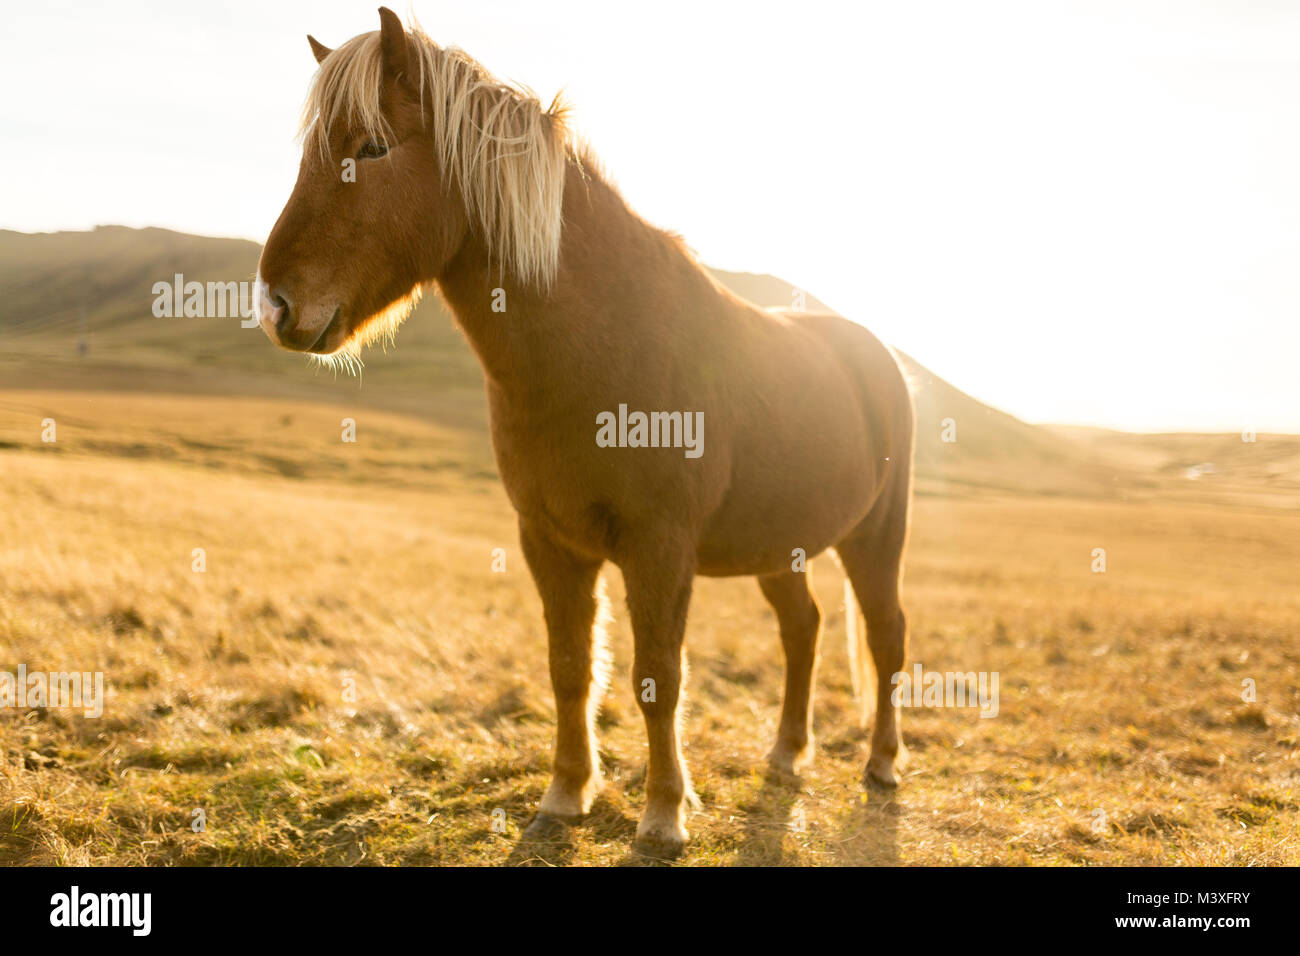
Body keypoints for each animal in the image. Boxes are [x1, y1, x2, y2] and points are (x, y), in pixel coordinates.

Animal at [254, 7, 914, 858]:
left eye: (371, 147)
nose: (275, 306)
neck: (601, 345)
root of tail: (878, 356)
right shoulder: (550, 541)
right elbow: (570, 668)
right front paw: (567, 794)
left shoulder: (658, 548)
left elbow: (658, 678)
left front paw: (663, 814)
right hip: (781, 543)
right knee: (803, 628)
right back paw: (786, 752)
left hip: (875, 538)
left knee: (886, 634)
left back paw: (883, 763)